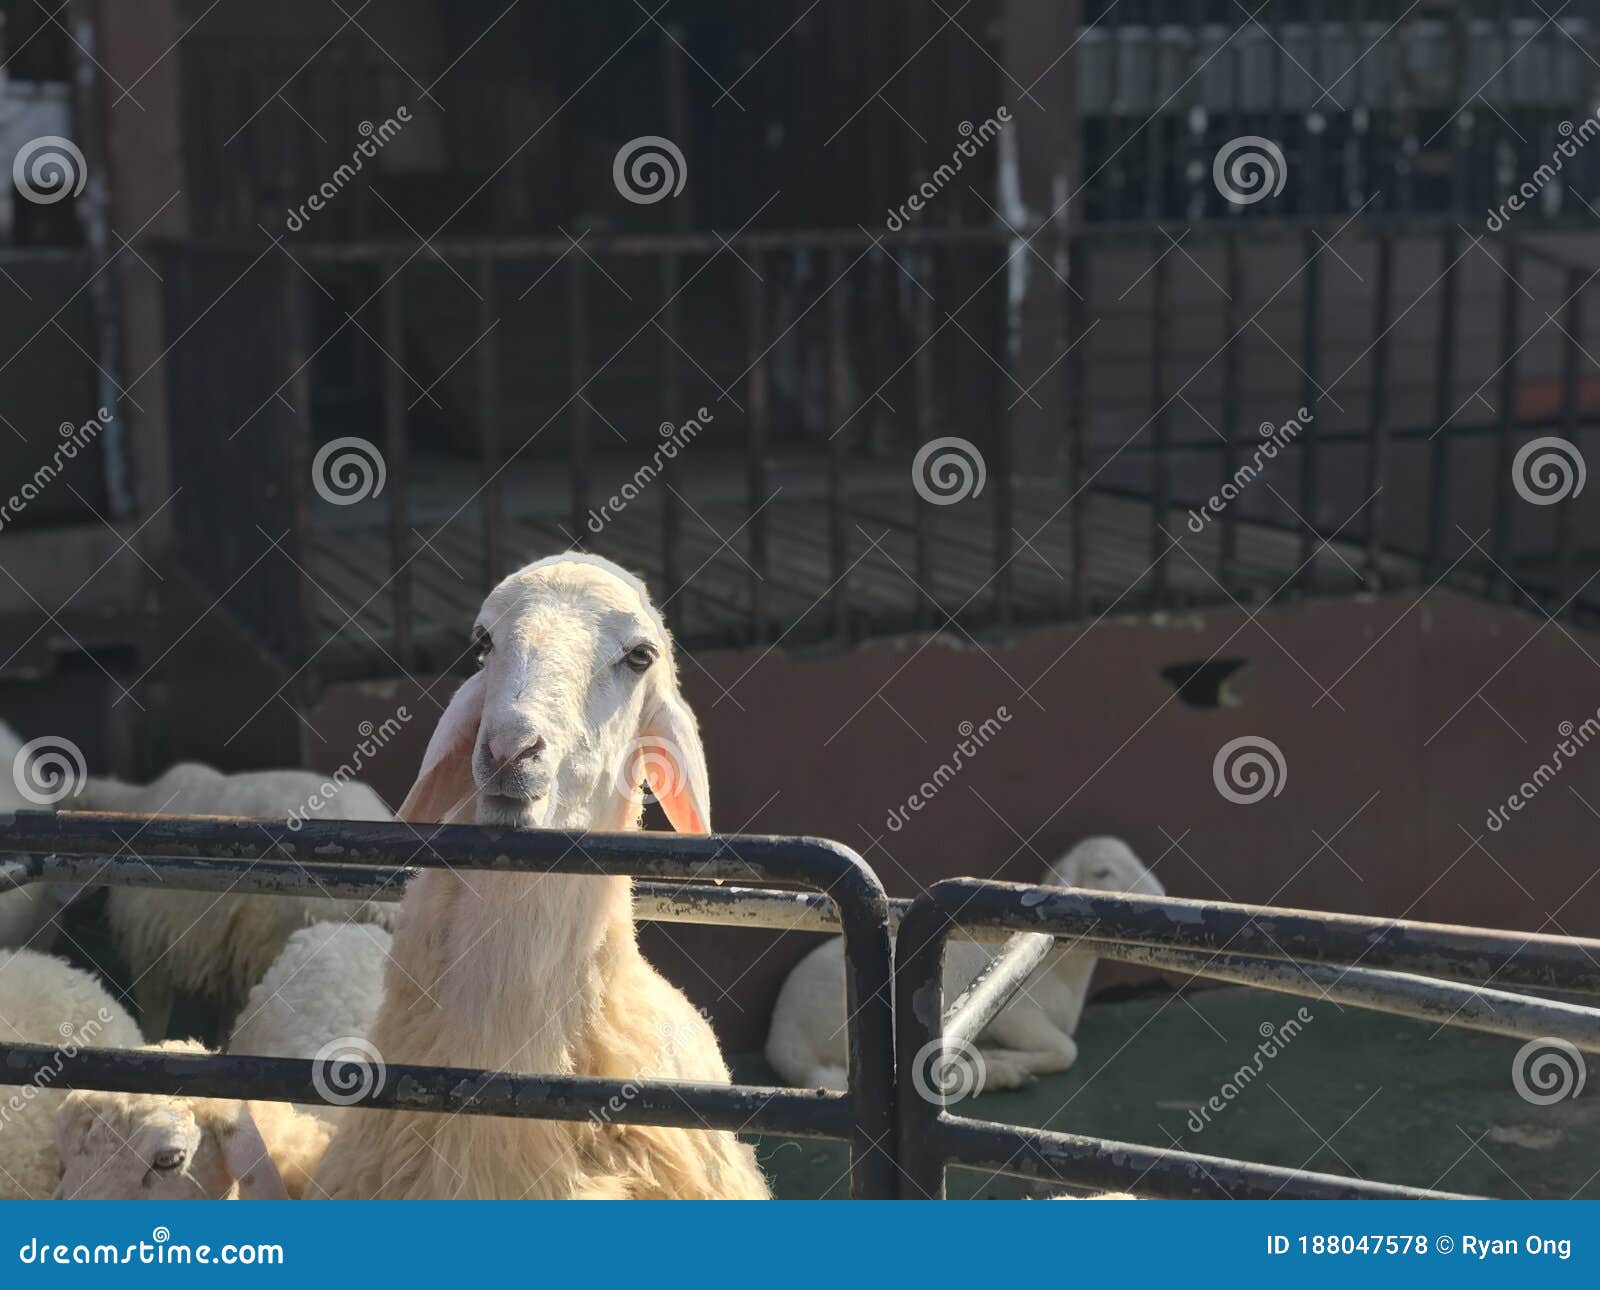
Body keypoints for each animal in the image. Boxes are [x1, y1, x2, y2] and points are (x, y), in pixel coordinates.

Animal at [765, 836, 1165, 1094]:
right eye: (1102, 872)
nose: (1160, 896)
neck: (1061, 966)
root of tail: (780, 1033)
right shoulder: (1013, 1013)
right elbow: (1067, 1051)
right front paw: (1005, 1056)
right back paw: (1000, 1071)